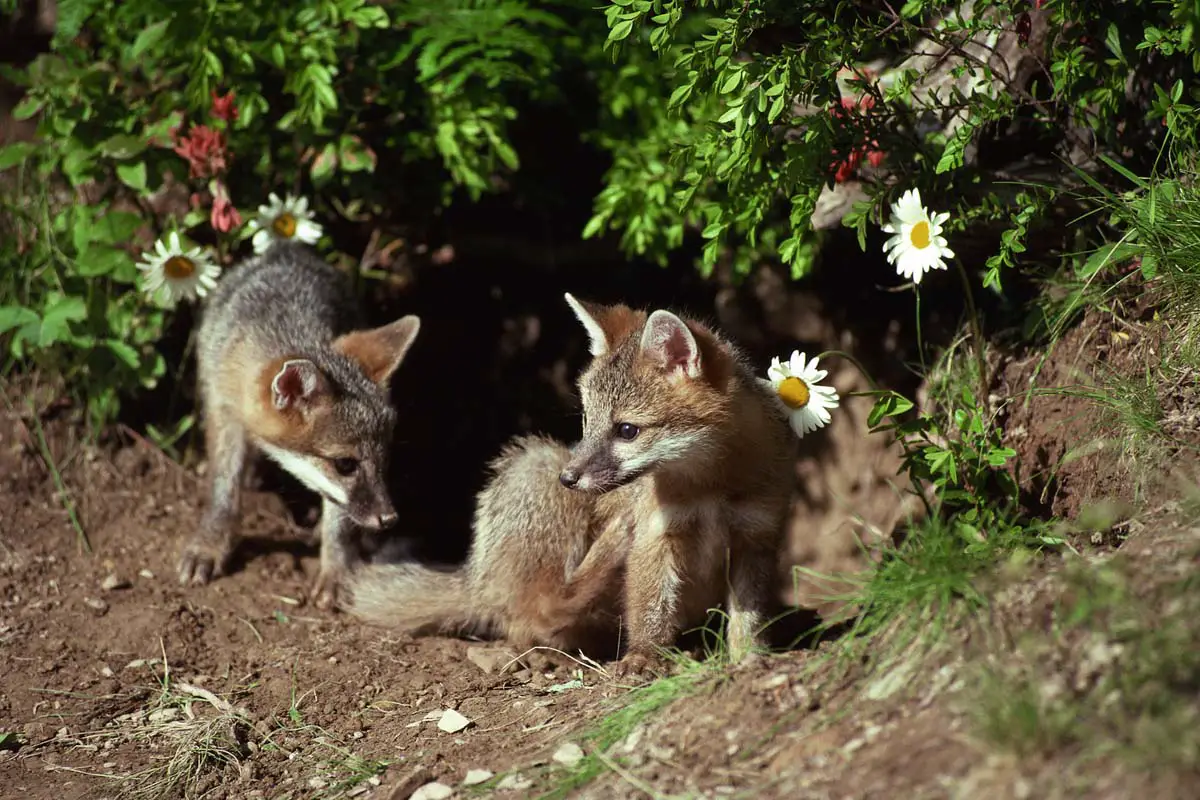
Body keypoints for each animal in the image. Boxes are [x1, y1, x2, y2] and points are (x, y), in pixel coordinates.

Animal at [177, 240, 421, 609]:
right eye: (345, 465)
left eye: (387, 457)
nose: (389, 519)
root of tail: (287, 246)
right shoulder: (224, 411)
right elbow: (223, 487)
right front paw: (210, 542)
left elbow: (338, 518)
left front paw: (336, 568)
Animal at [347, 293, 796, 669]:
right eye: (586, 421)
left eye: (627, 430)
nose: (569, 478)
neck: (711, 487)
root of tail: (476, 578)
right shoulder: (656, 535)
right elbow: (649, 608)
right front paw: (644, 659)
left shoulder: (755, 537)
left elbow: (749, 618)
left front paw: (749, 660)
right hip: (538, 462)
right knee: (539, 612)